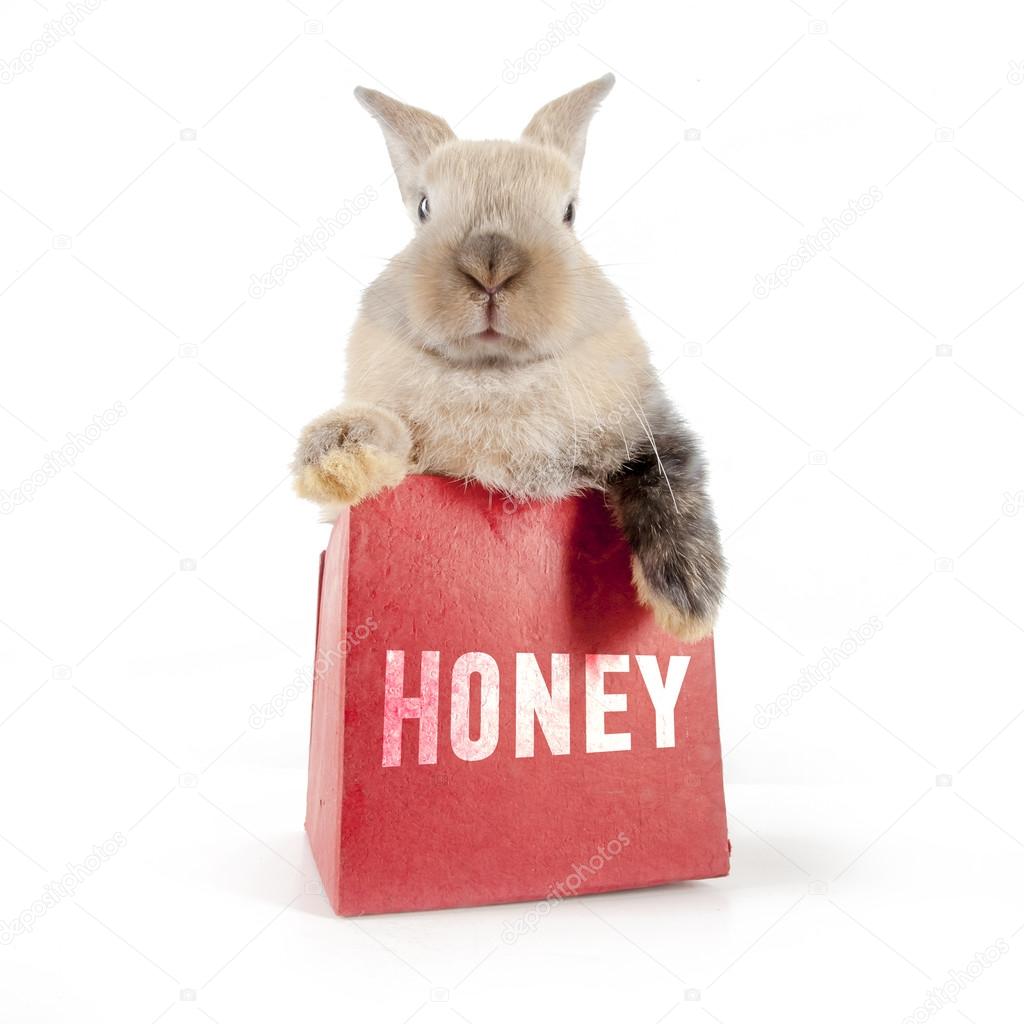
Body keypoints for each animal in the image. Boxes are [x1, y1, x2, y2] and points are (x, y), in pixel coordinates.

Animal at [293, 74, 726, 643]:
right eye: (424, 208)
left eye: (568, 212)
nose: (490, 263)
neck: (494, 375)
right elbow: (385, 436)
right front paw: (339, 456)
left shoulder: (652, 428)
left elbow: (672, 481)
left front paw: (688, 605)